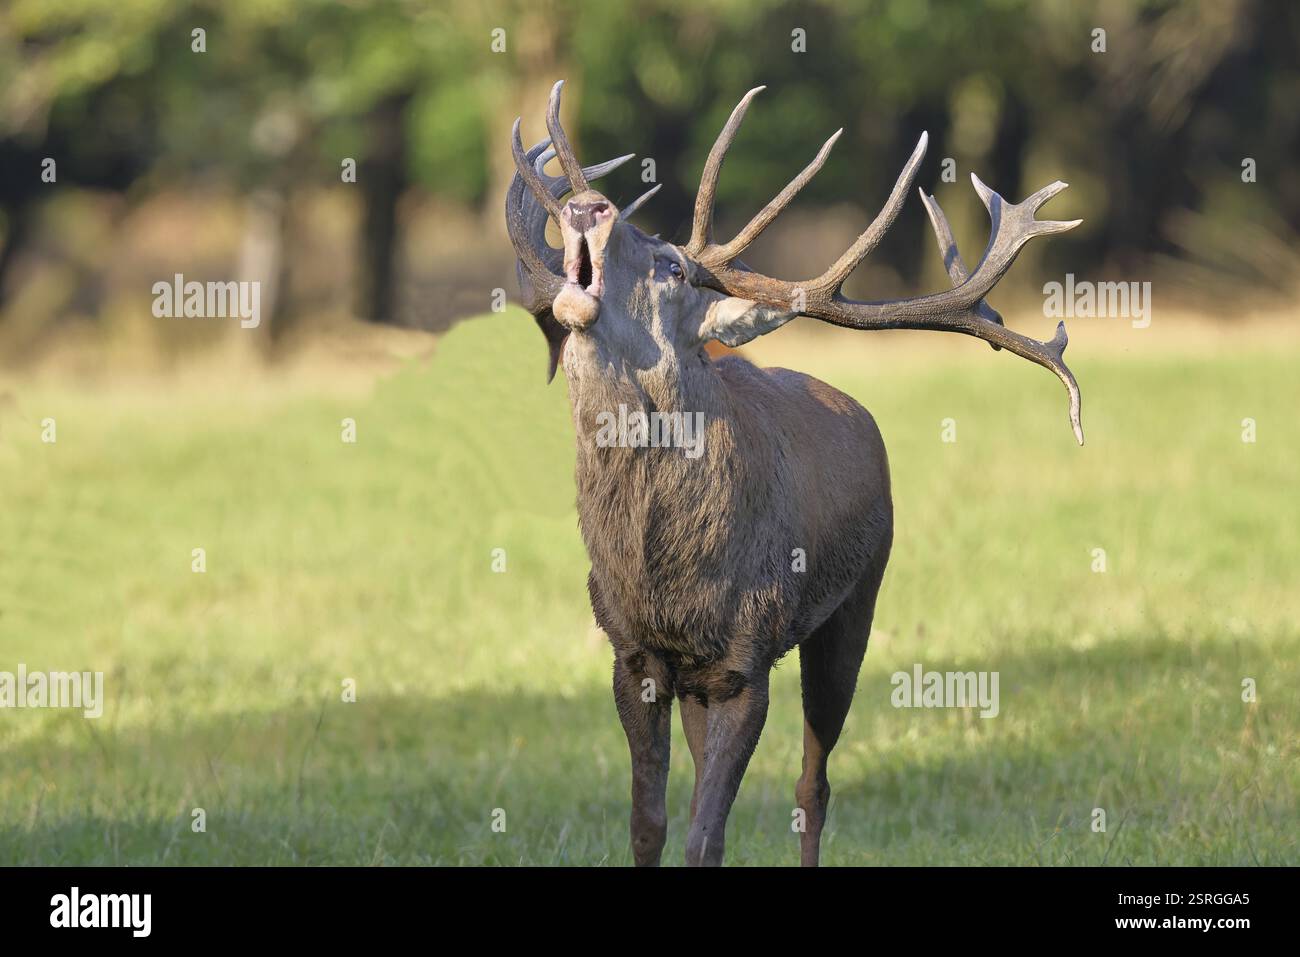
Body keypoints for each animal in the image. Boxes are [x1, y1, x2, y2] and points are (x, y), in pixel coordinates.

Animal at [504, 82, 1083, 867]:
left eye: (674, 268)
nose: (588, 204)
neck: (665, 572)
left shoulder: (748, 657)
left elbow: (707, 835)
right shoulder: (634, 654)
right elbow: (650, 823)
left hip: (857, 600)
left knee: (815, 784)